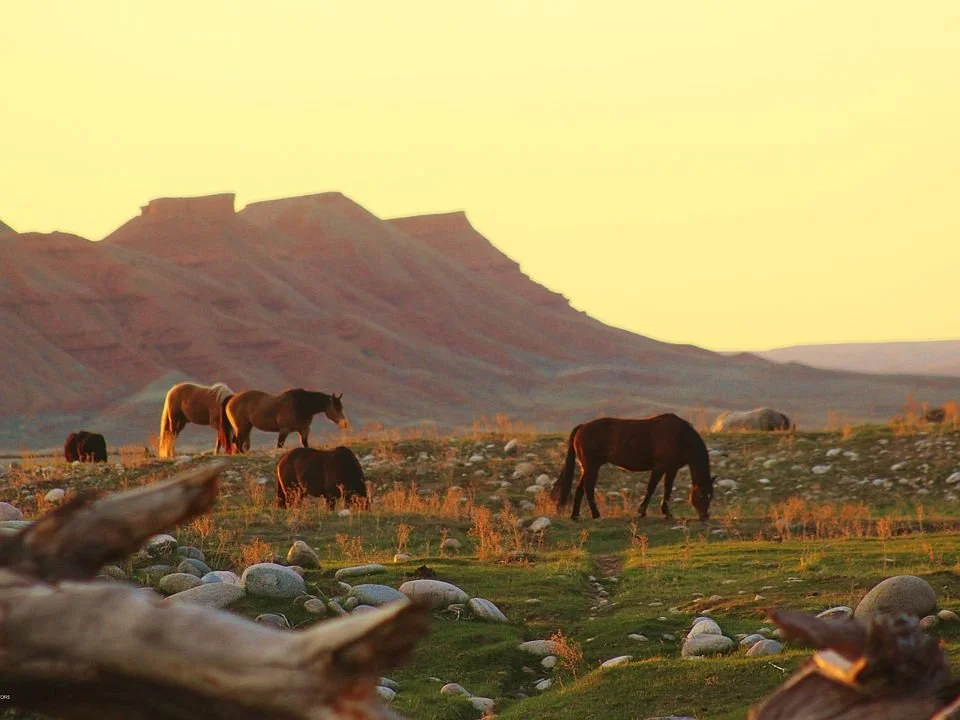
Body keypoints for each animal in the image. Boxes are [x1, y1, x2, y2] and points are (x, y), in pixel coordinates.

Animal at [550, 413, 714, 522]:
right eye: (702, 495)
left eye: (711, 496)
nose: (704, 517)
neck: (681, 437)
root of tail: (582, 427)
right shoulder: (659, 468)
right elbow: (651, 488)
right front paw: (643, 511)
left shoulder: (671, 469)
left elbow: (667, 490)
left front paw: (666, 513)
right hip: (592, 466)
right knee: (588, 487)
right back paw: (596, 514)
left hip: (588, 467)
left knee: (580, 488)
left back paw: (575, 515)